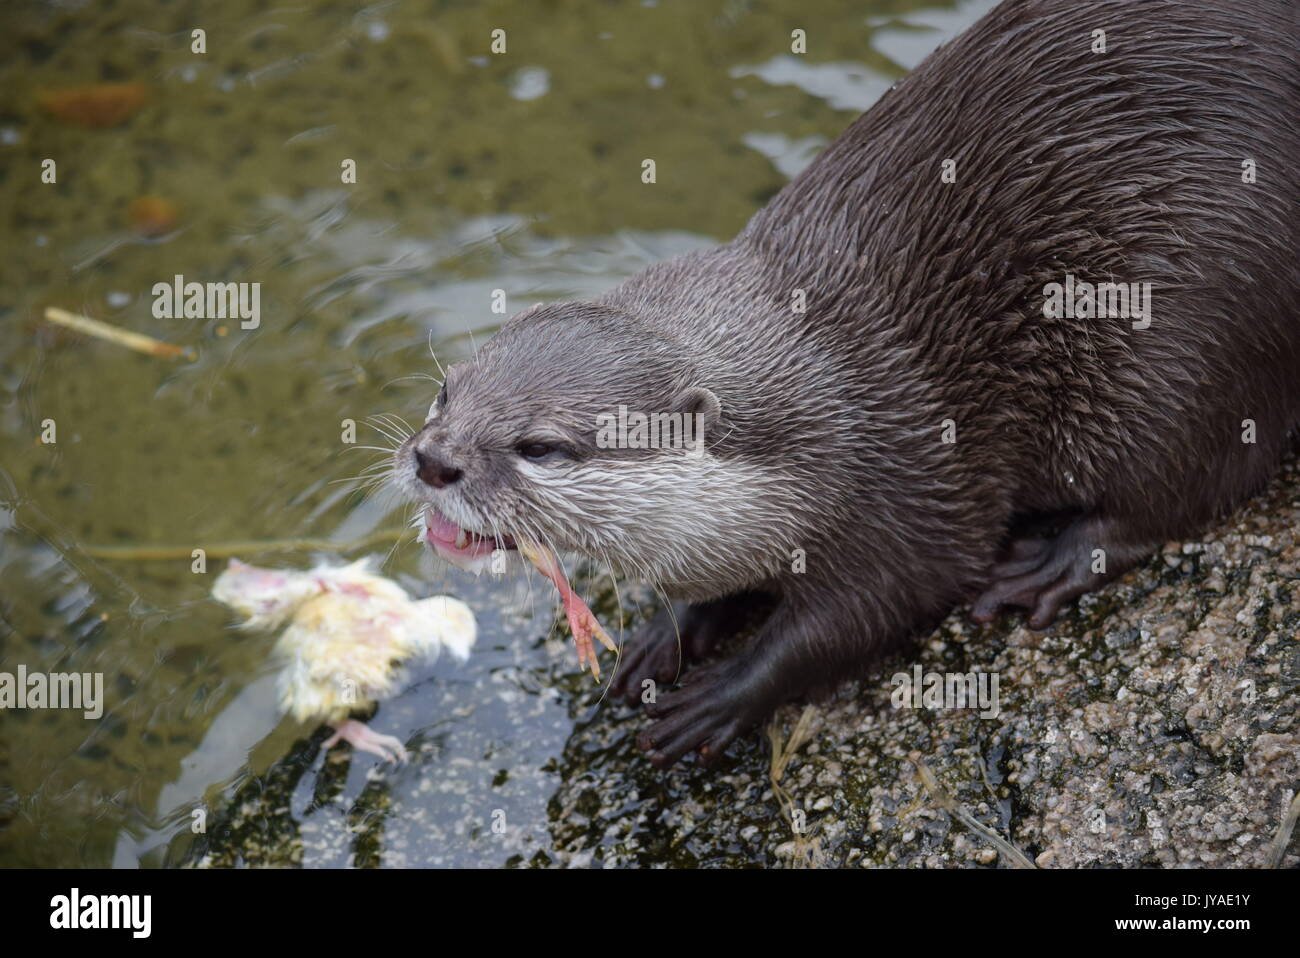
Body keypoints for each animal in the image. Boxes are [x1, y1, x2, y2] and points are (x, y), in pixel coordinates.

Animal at [394, 0, 1300, 767]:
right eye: (445, 392)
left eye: (541, 446)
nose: (433, 461)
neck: (830, 411)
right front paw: (666, 633)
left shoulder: (910, 487)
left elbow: (876, 605)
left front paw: (723, 695)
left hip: (1190, 336)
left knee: (1187, 484)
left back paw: (1052, 562)